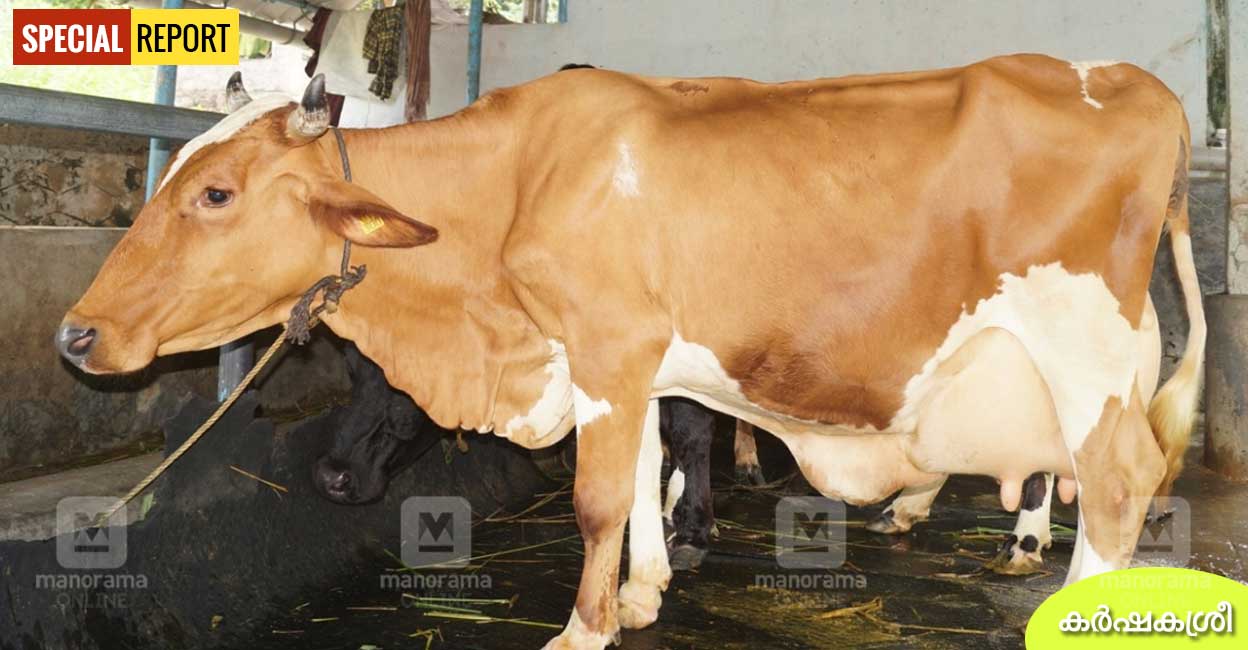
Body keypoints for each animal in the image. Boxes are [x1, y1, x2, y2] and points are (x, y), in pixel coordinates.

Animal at [58, 55, 1204, 649]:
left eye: (216, 192)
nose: (76, 333)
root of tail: (1129, 79)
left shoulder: (608, 344)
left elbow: (601, 497)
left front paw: (586, 626)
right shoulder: (635, 362)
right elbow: (655, 462)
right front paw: (647, 592)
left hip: (1081, 345)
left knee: (1116, 479)